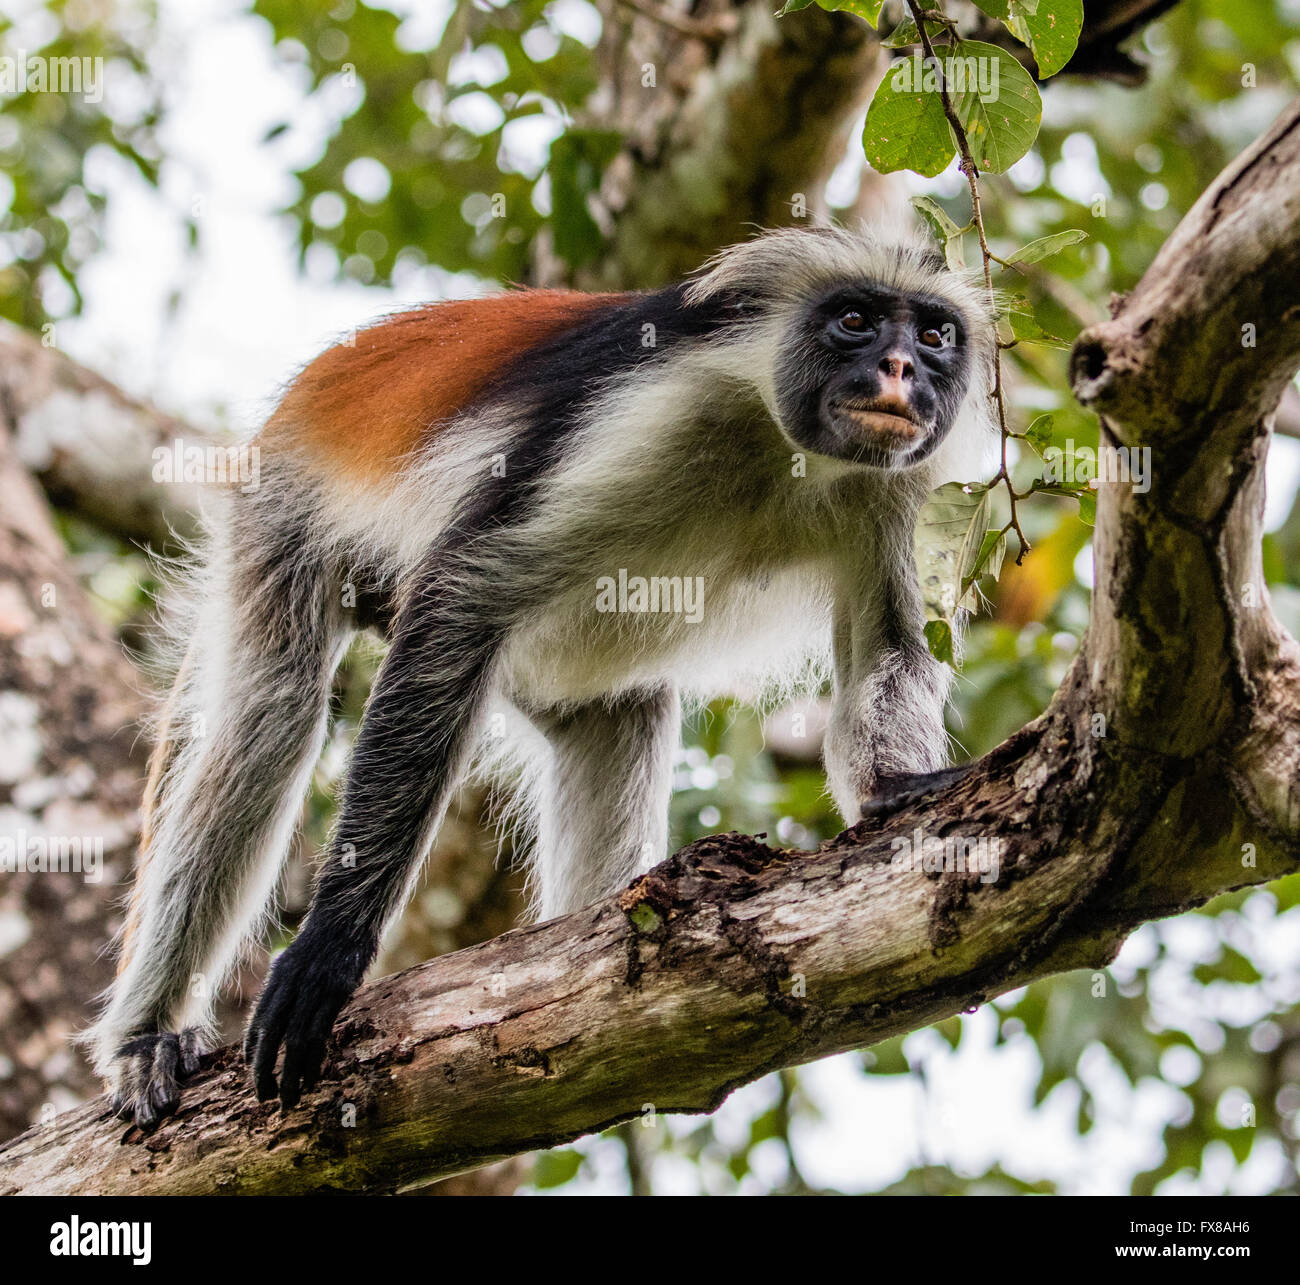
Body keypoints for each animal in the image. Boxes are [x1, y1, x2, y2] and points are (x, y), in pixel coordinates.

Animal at [86, 228, 987, 1123]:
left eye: (934, 335)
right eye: (855, 320)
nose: (902, 367)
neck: (783, 445)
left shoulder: (905, 483)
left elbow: (891, 651)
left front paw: (897, 789)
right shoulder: (647, 409)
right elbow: (459, 601)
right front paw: (329, 947)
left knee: (618, 711)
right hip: (284, 508)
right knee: (270, 720)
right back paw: (147, 1033)